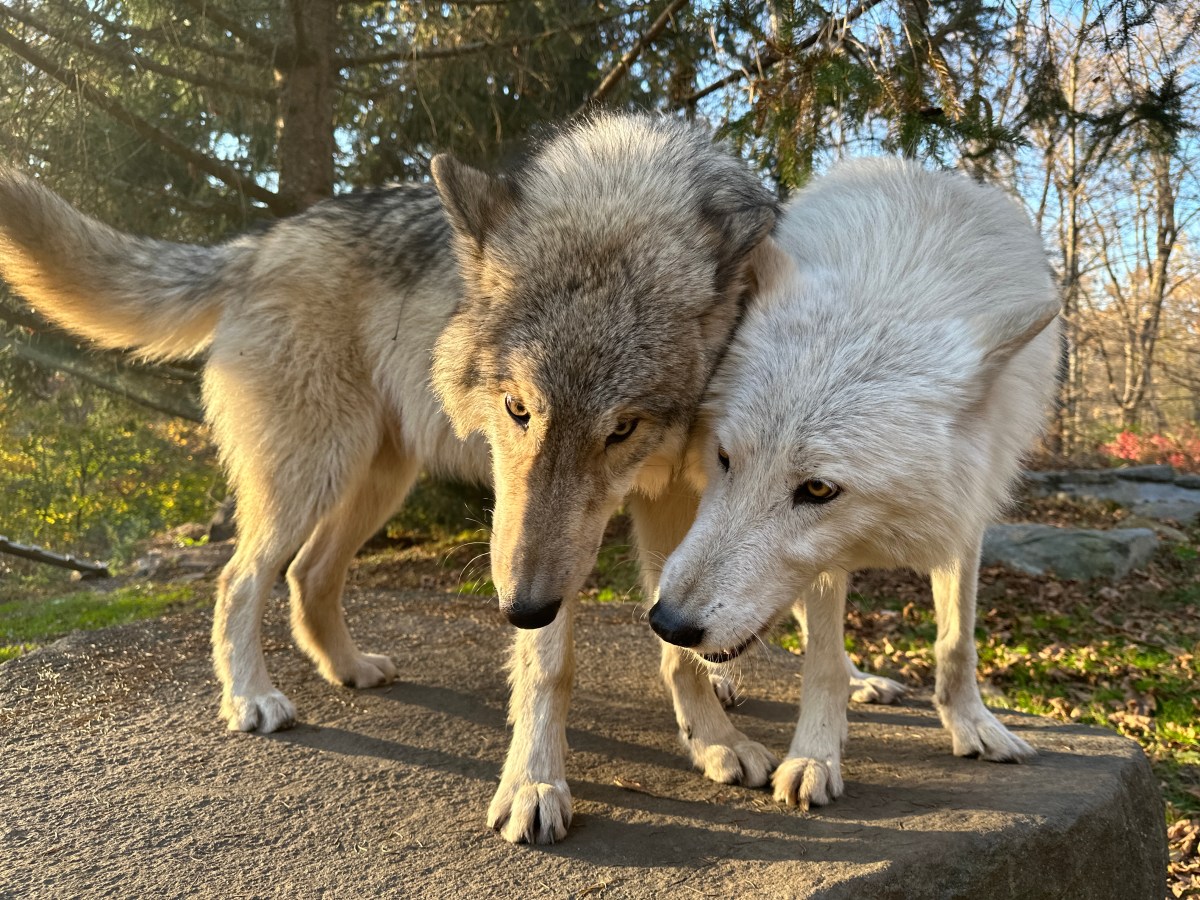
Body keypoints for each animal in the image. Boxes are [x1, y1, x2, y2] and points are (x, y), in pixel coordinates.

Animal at [649, 157, 1060, 811]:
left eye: (818, 491)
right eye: (724, 457)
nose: (669, 623)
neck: (902, 264)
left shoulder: (966, 514)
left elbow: (957, 638)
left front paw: (973, 724)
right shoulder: (821, 561)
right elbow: (818, 663)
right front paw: (815, 759)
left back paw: (860, 681)